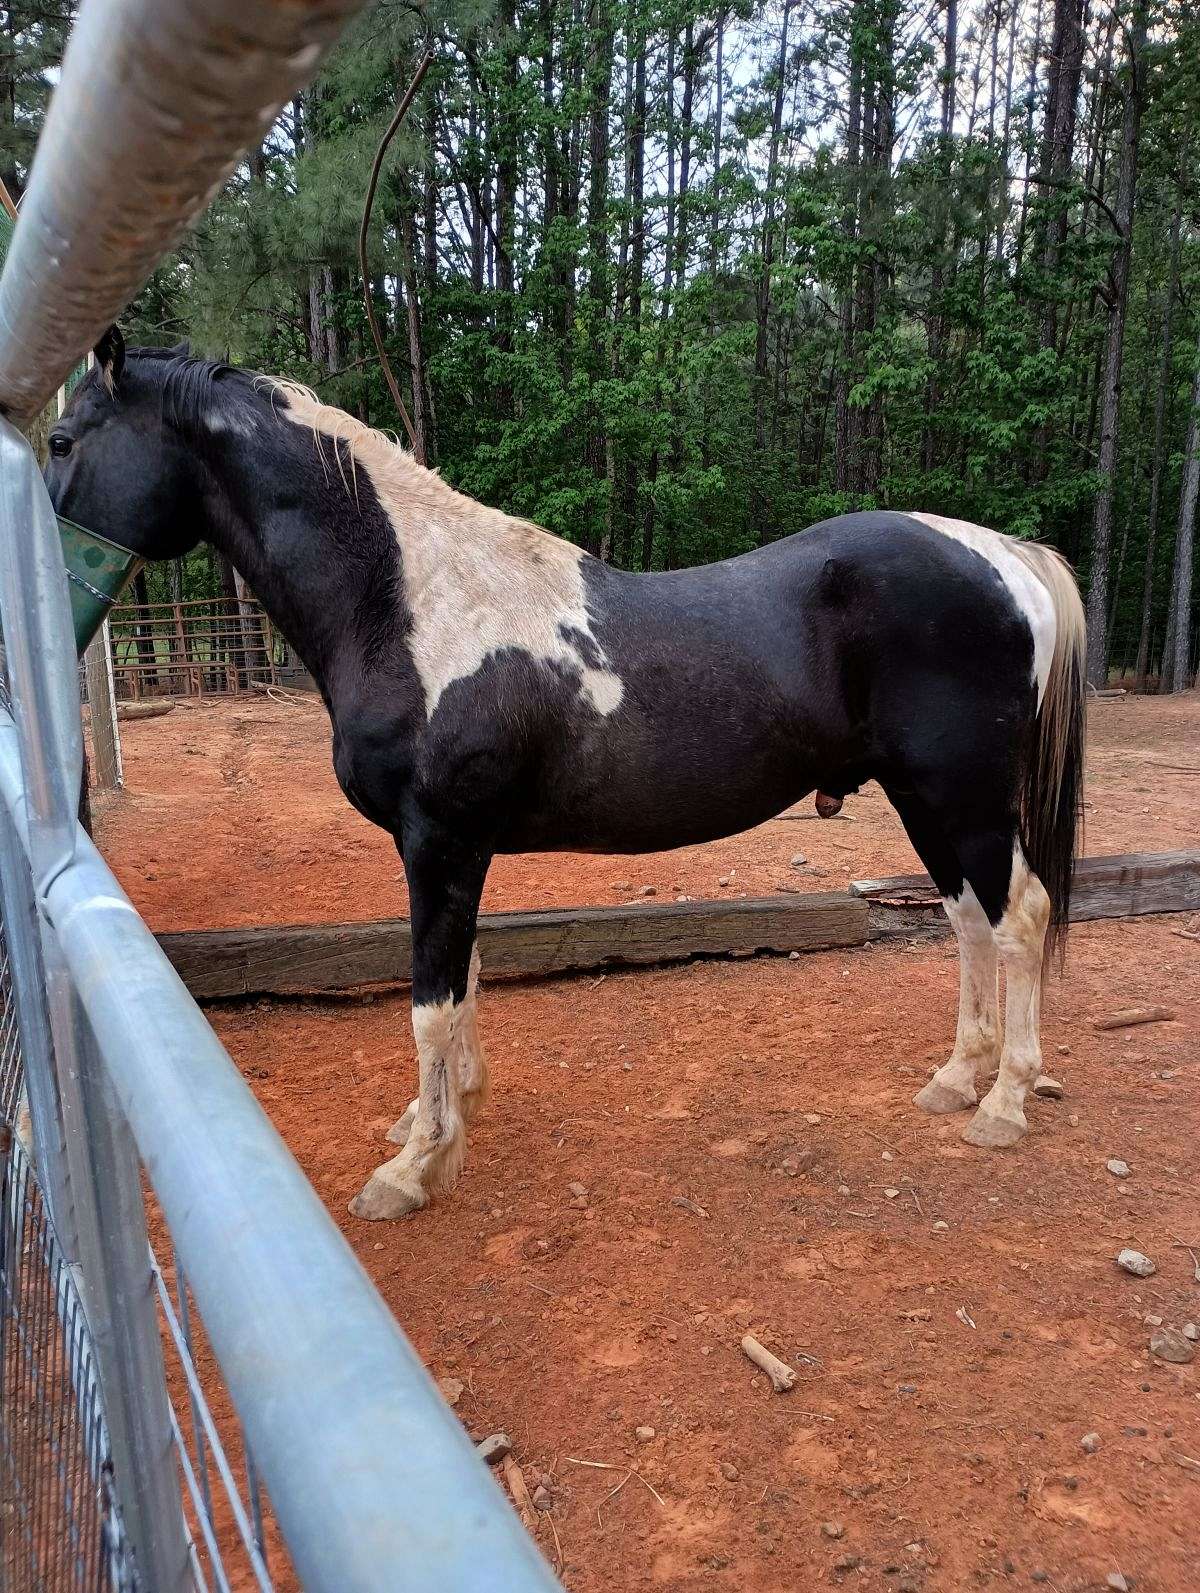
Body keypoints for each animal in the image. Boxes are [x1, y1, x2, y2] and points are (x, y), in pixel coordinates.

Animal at [44, 330, 1086, 1222]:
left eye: (61, 439)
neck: (408, 605)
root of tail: (1006, 556)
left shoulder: (440, 841)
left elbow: (429, 1004)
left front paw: (414, 1166)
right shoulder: (453, 850)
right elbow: (461, 978)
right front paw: (442, 1115)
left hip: (964, 797)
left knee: (1018, 917)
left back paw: (1003, 1105)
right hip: (925, 800)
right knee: (966, 920)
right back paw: (955, 1080)